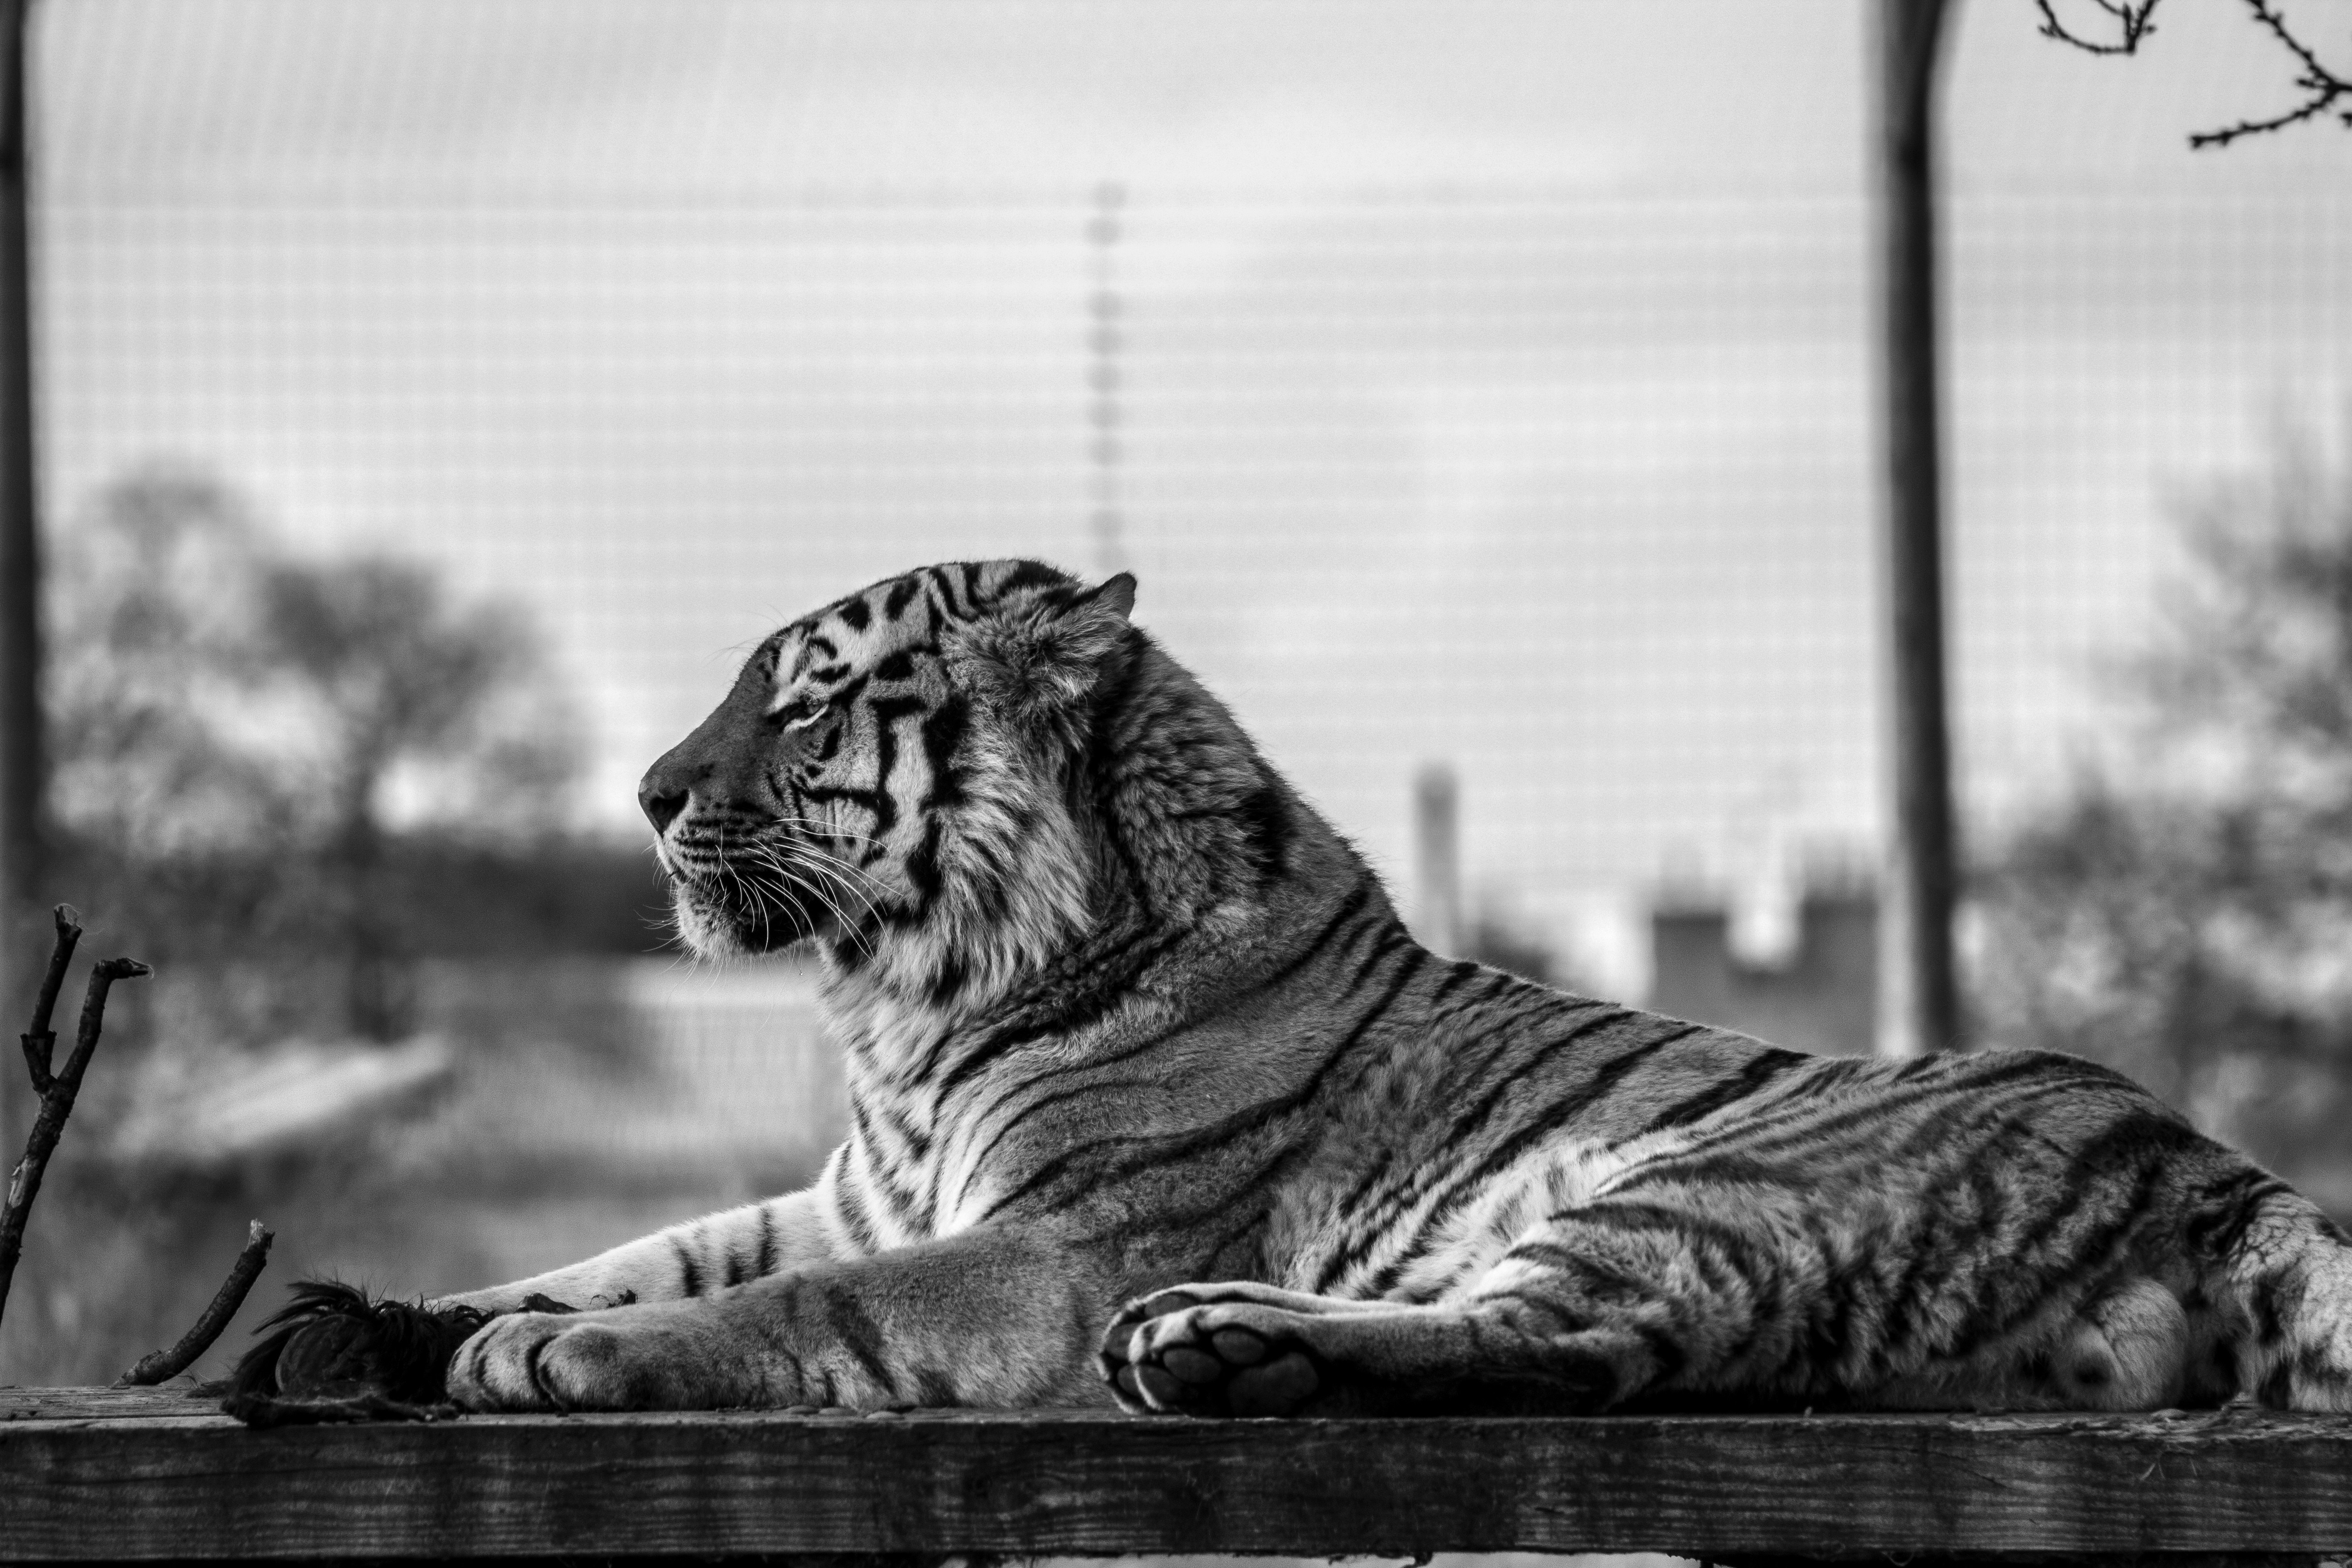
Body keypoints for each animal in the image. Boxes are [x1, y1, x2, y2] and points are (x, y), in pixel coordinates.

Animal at [434, 557, 2352, 1418]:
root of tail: (2193, 1151)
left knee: (1573, 1342)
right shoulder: (852, 1193)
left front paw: (562, 1353)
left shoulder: (1054, 1245)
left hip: (1705, 1184)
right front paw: (422, 1318)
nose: (647, 795)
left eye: (813, 701)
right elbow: (646, 1247)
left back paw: (1219, 1341)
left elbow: (780, 1304)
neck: (911, 1012)